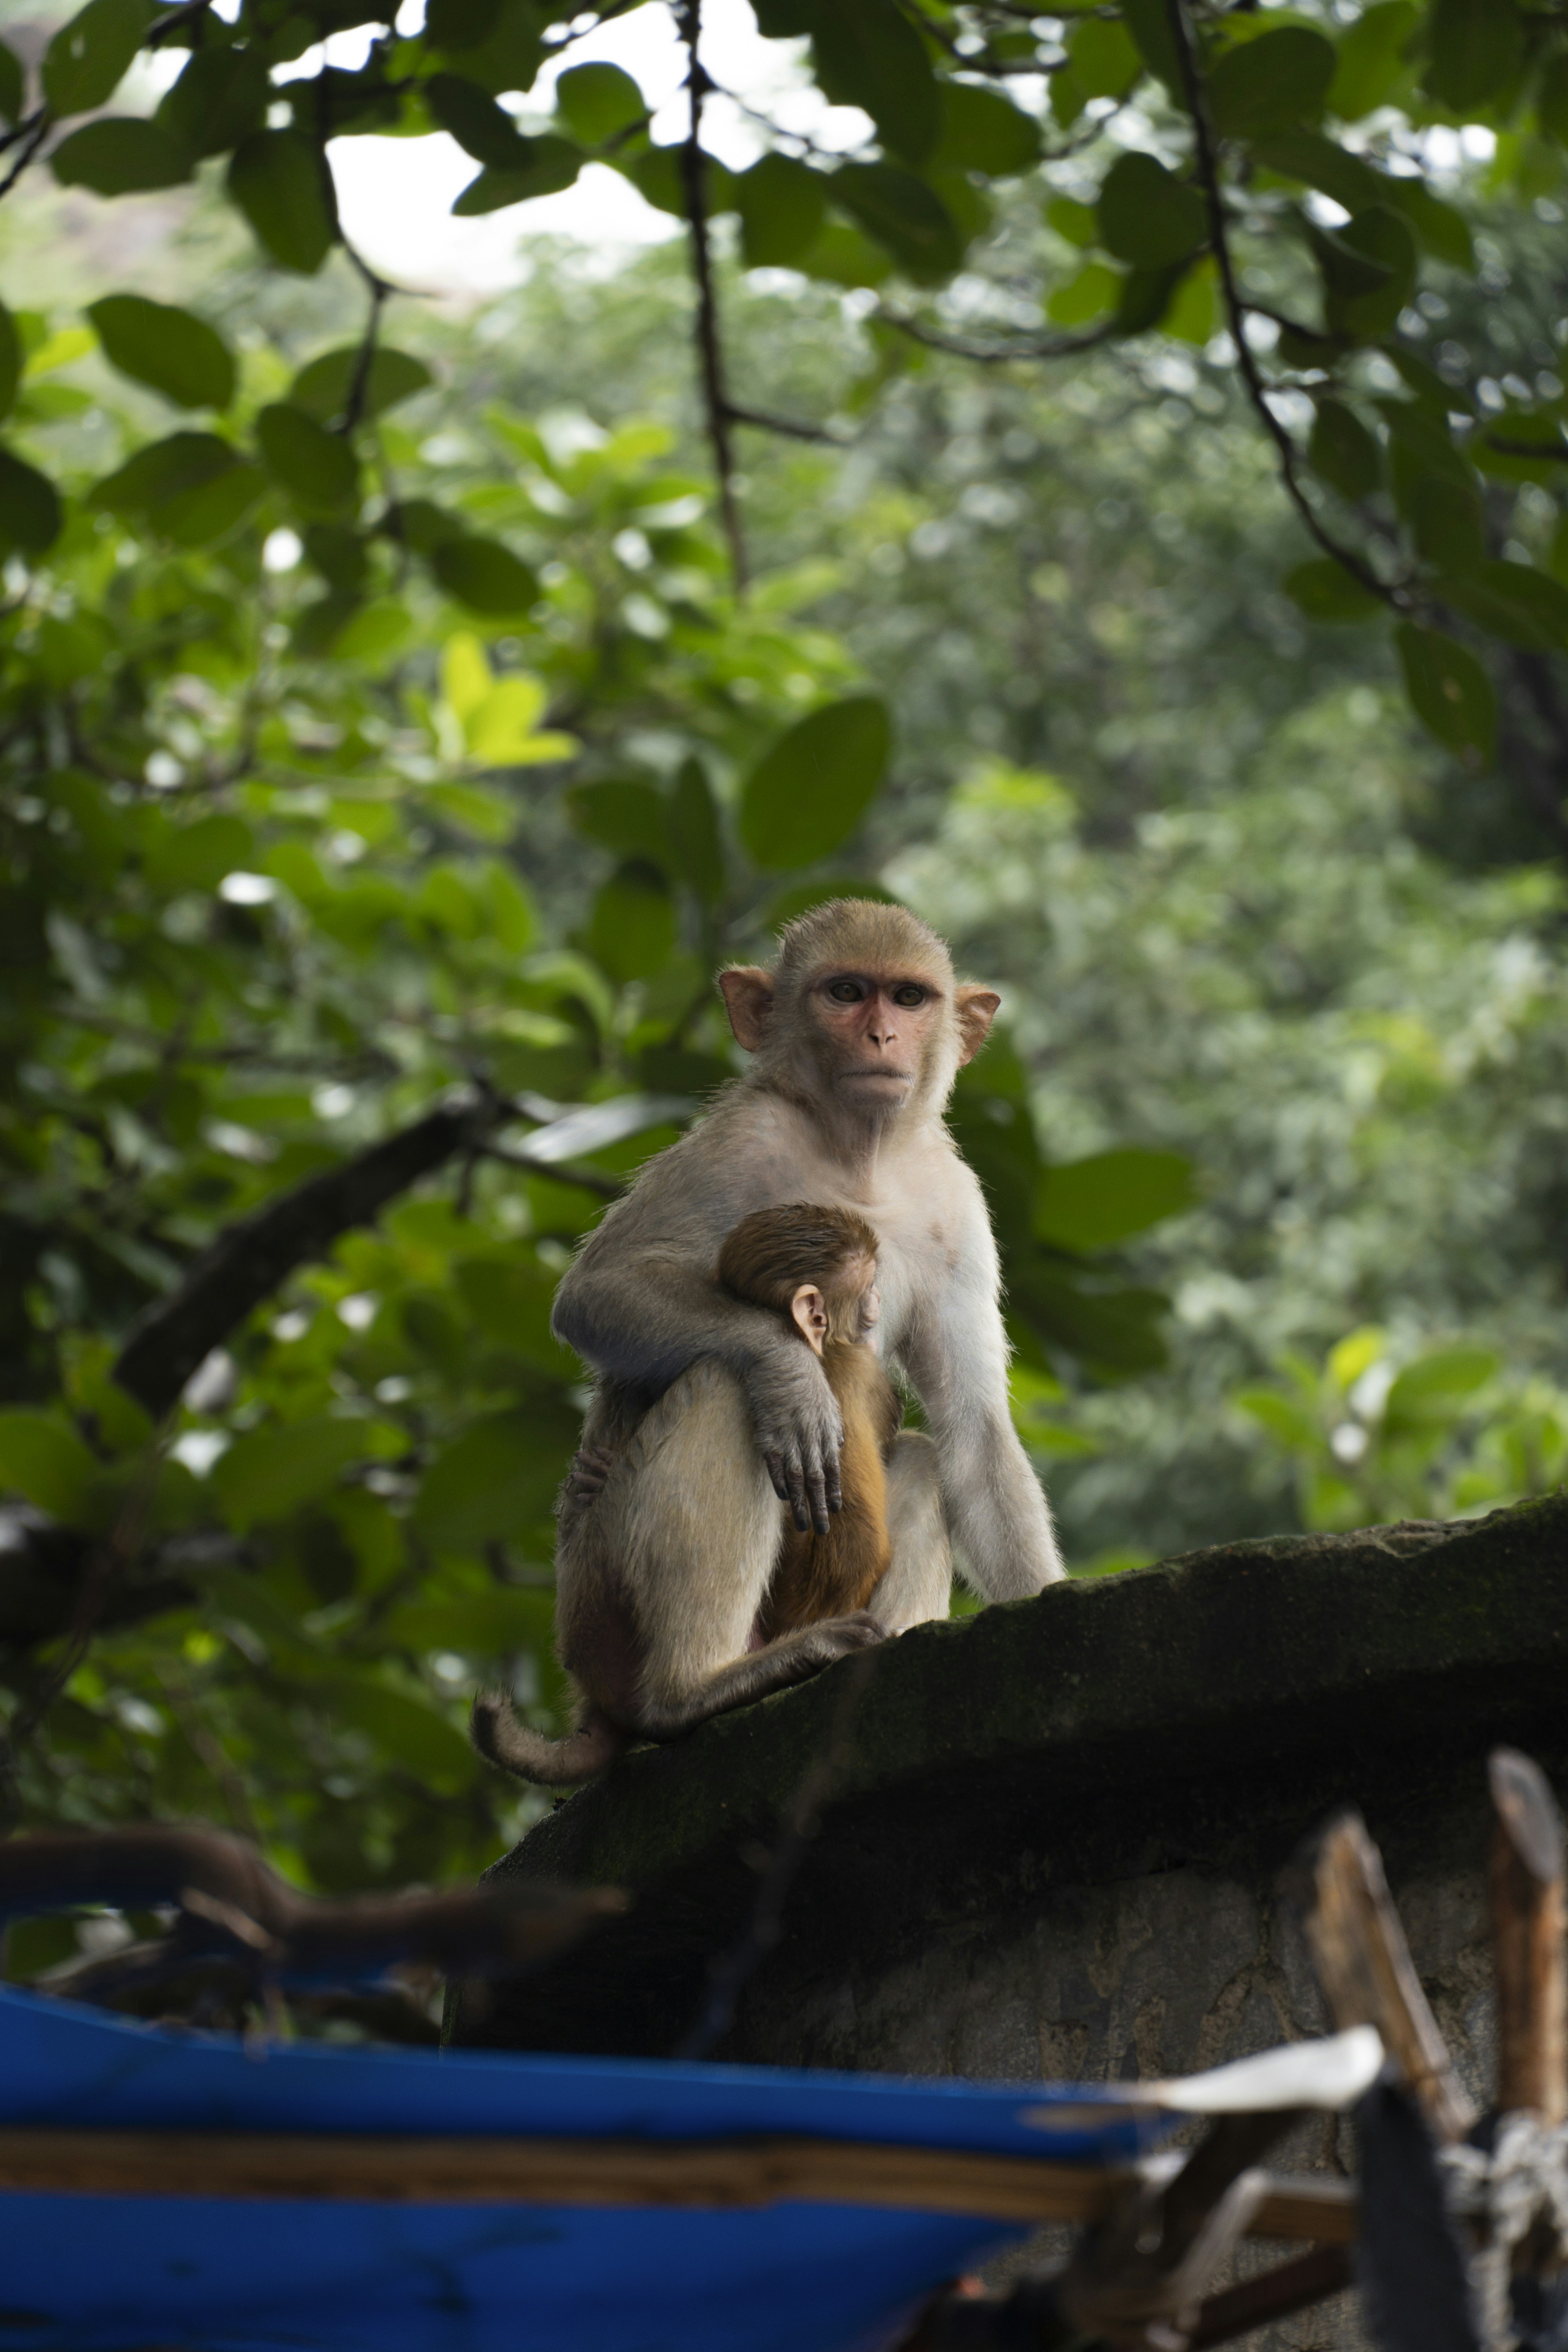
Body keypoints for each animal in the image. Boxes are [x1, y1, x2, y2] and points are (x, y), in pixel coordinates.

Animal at [471, 1203, 896, 1785]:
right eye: (869, 1289)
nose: (879, 1307)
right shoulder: (850, 1375)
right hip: (601, 1593)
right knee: (725, 1384)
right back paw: (691, 1692)